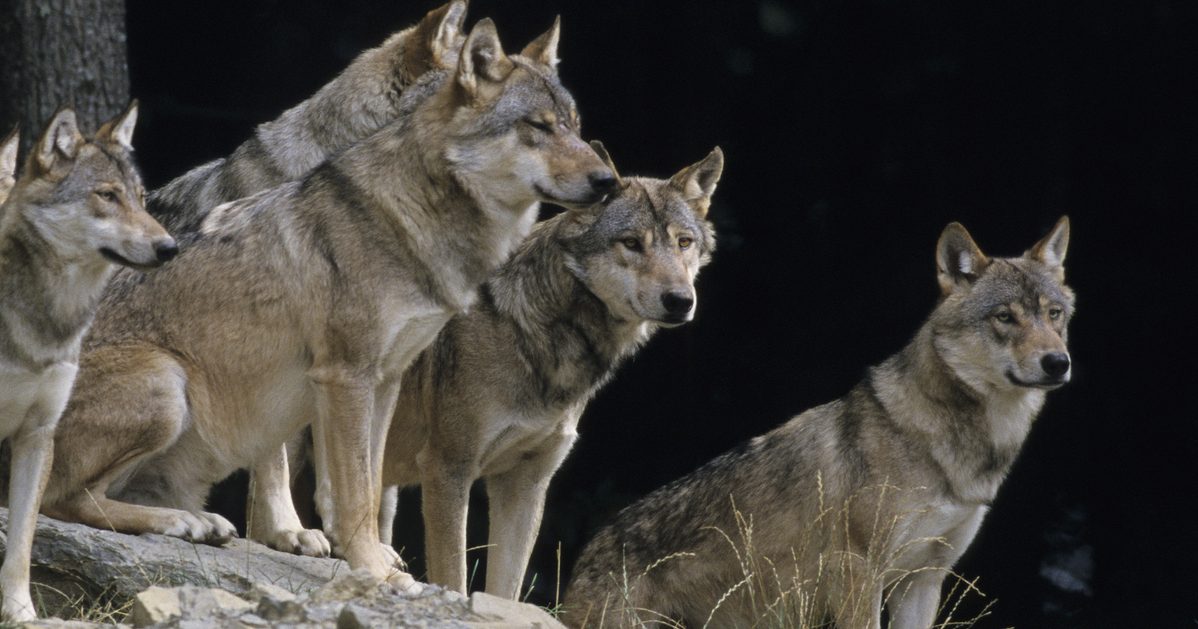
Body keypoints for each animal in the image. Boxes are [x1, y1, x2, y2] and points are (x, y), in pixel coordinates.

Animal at [0, 104, 175, 621]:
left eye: (140, 198)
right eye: (107, 196)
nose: (170, 247)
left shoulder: (38, 434)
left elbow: (21, 545)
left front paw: (20, 613)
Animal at [249, 143, 723, 597]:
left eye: (683, 243)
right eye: (631, 243)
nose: (680, 301)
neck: (536, 334)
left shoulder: (526, 484)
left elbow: (506, 590)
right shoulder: (447, 469)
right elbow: (455, 576)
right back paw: (293, 536)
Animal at [564, 217, 1074, 629]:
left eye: (1055, 315)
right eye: (1005, 317)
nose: (1058, 363)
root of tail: (587, 553)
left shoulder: (923, 580)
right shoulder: (857, 570)